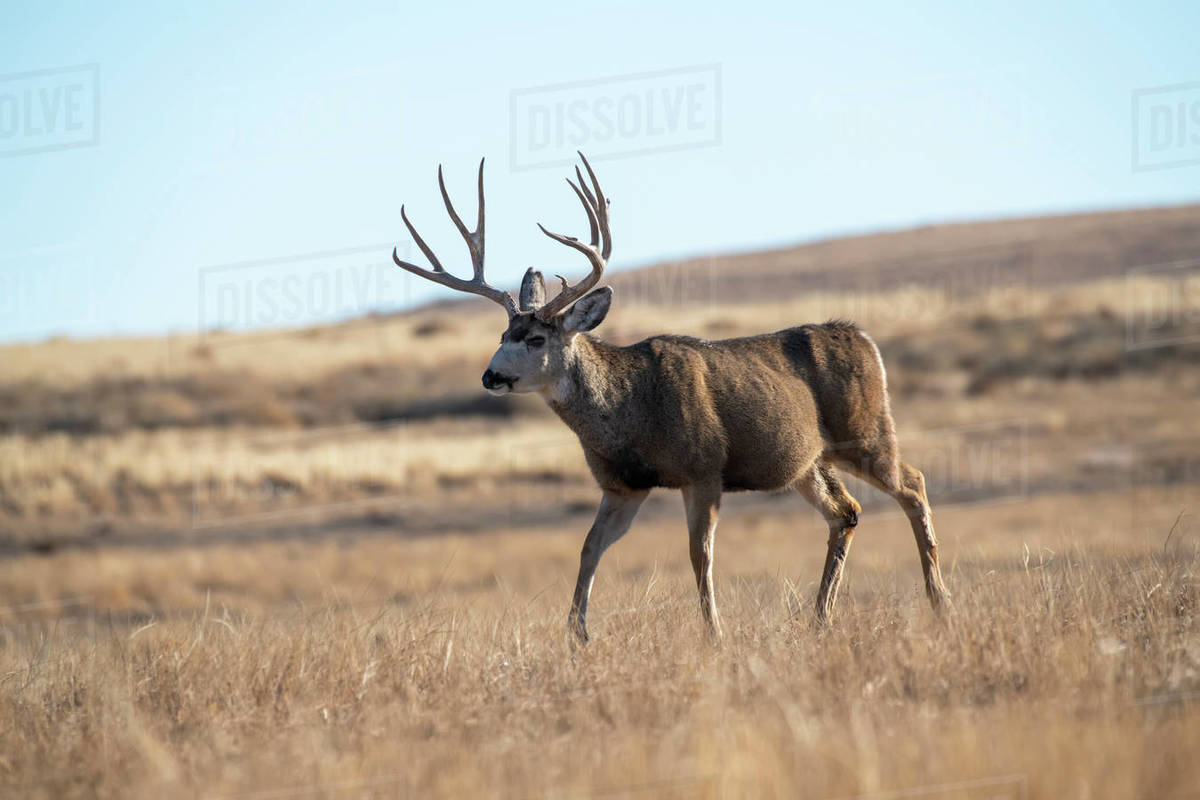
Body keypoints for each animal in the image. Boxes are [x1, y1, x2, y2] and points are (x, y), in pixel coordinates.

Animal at [391, 152, 950, 641]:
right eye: (502, 334)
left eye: (534, 339)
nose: (490, 376)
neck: (629, 410)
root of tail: (865, 339)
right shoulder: (624, 484)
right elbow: (589, 548)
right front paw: (577, 635)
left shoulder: (702, 468)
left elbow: (699, 554)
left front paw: (714, 634)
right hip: (807, 463)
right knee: (846, 512)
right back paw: (820, 619)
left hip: (868, 432)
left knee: (913, 484)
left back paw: (939, 603)